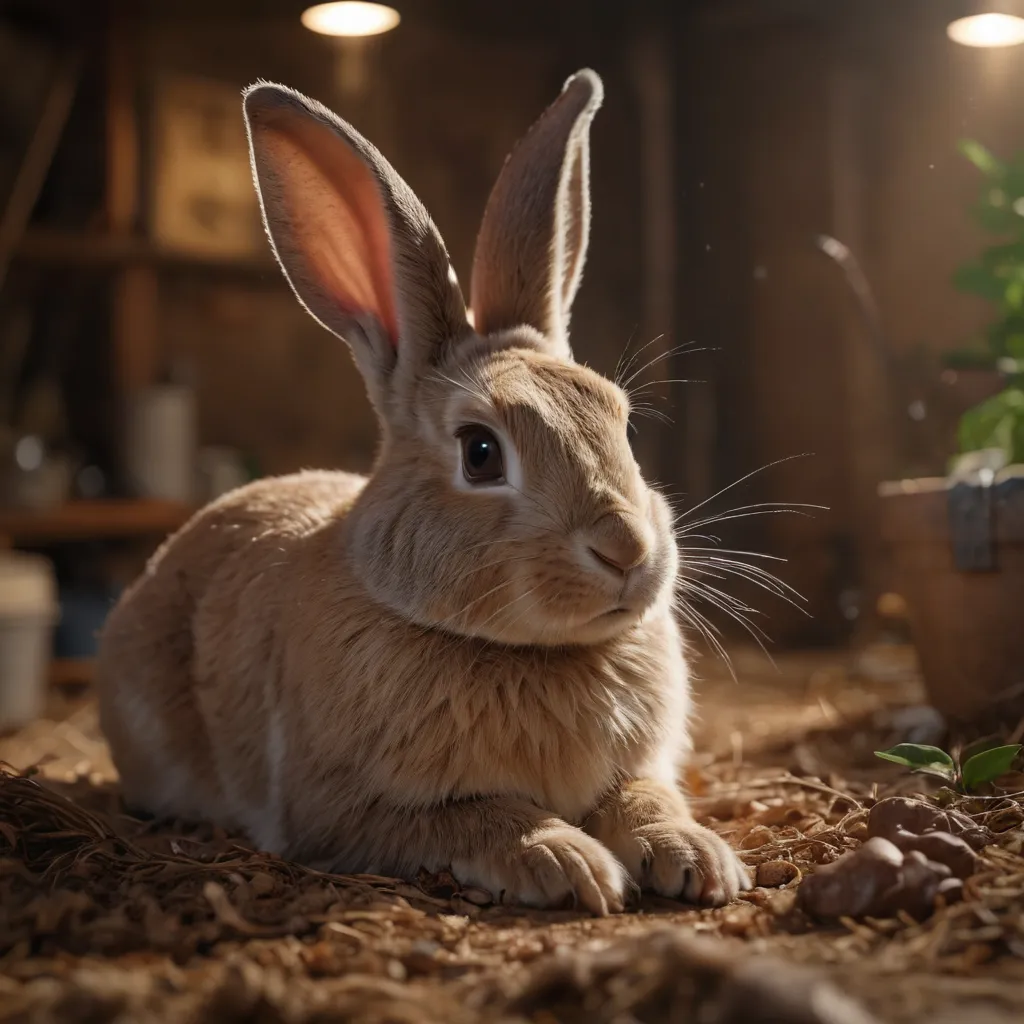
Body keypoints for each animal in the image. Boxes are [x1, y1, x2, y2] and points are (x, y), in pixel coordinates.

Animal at [96, 68, 751, 915]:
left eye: (622, 421)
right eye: (480, 453)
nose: (627, 549)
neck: (524, 651)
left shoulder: (644, 767)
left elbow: (646, 798)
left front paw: (698, 856)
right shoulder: (342, 808)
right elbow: (478, 814)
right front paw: (566, 861)